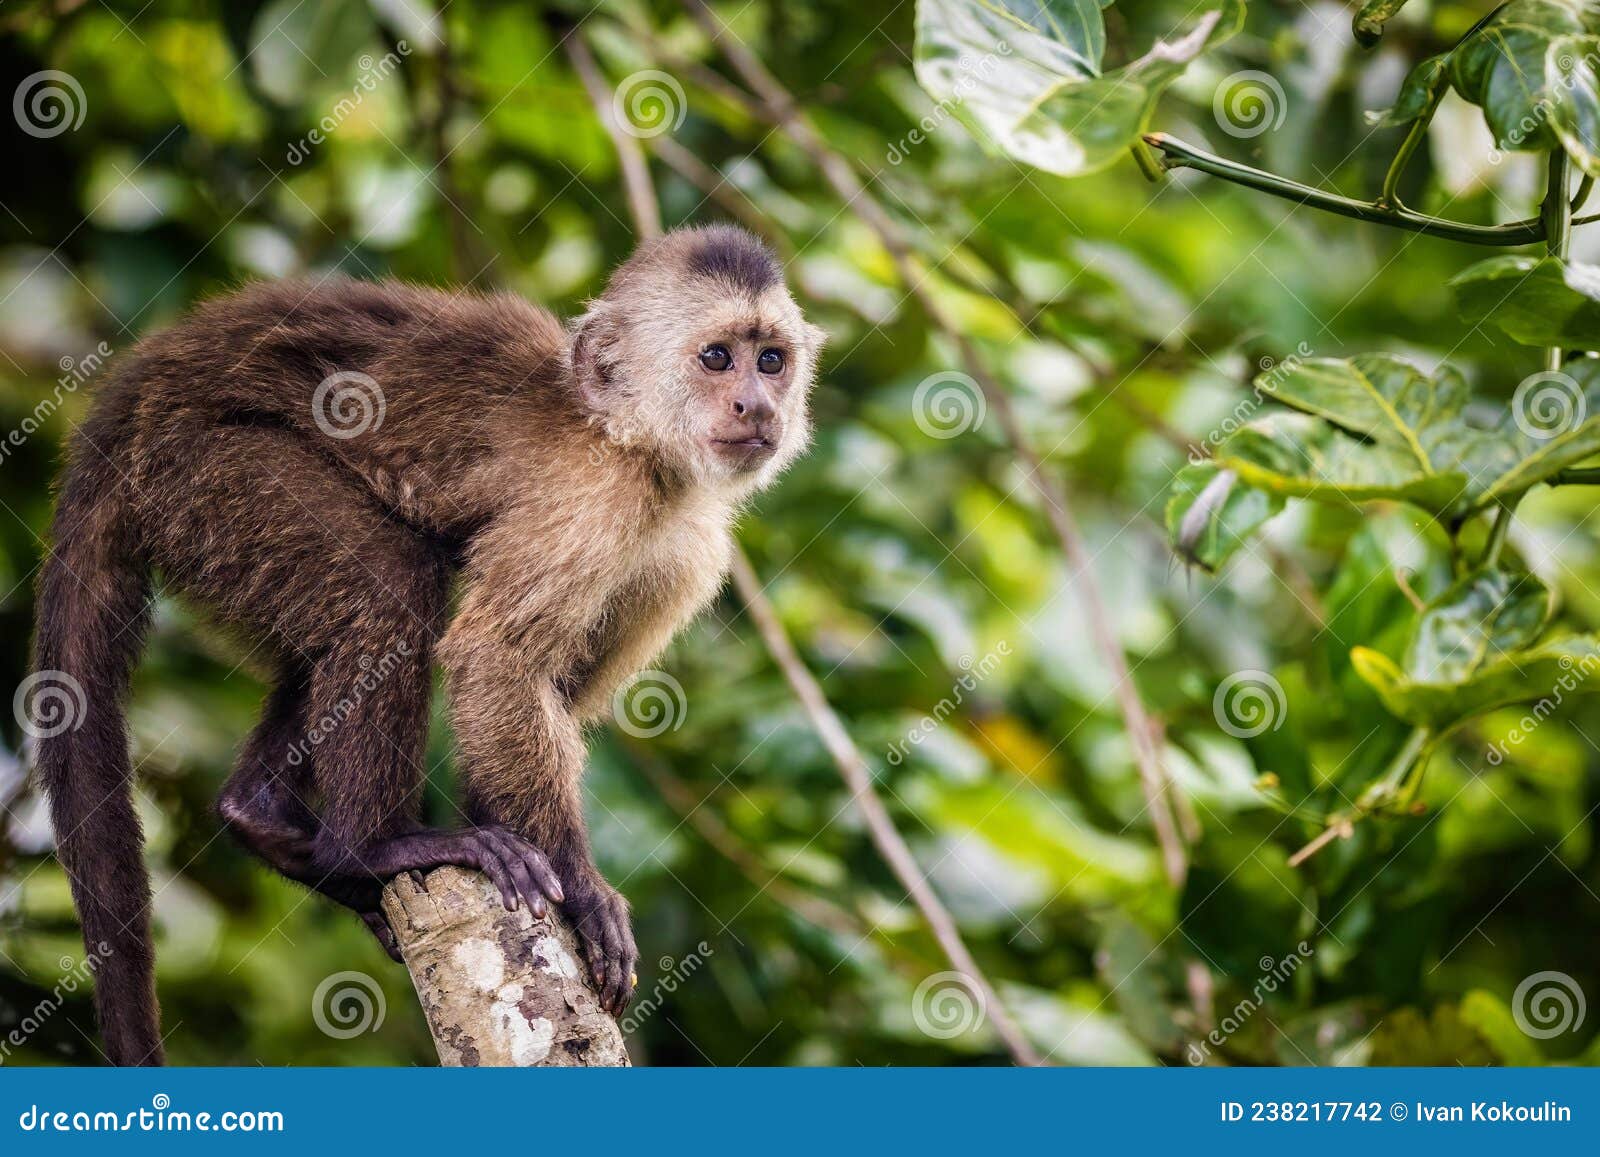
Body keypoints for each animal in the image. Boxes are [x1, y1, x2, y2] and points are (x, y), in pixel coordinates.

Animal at [29, 223, 826, 1066]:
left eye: (772, 360)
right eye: (717, 357)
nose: (755, 403)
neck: (631, 440)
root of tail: (135, 388)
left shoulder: (684, 550)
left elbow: (551, 696)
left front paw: (516, 833)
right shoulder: (596, 501)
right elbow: (495, 660)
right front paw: (579, 883)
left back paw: (265, 816)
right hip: (199, 473)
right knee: (390, 582)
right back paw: (371, 848)